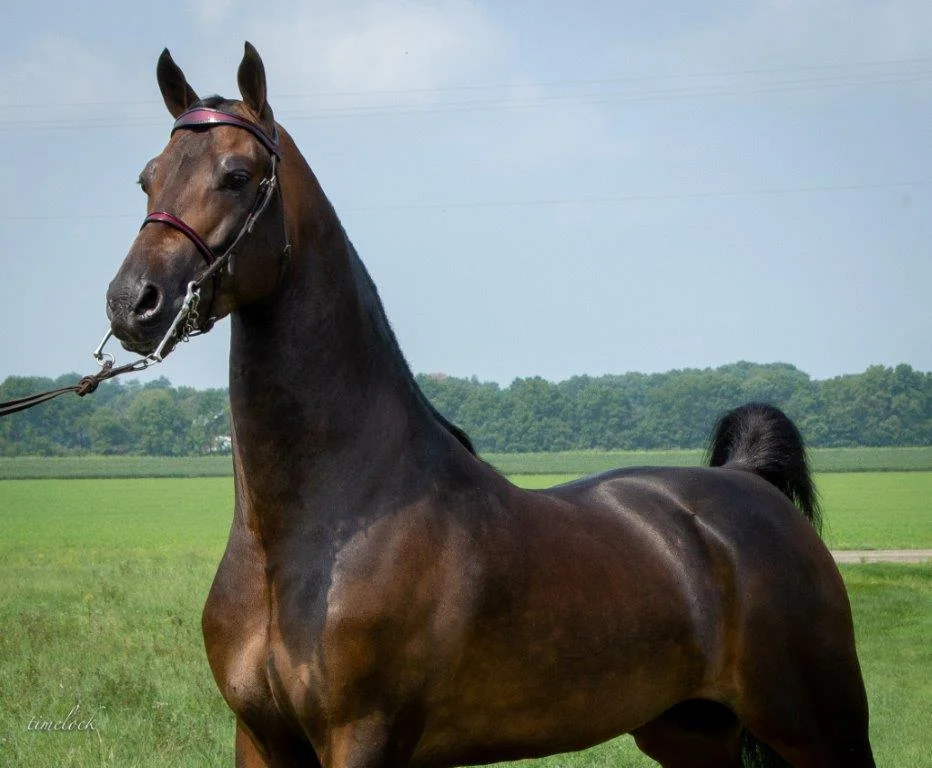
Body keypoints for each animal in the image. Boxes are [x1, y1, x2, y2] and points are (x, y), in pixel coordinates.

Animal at [104, 43, 874, 768]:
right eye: (148, 176)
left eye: (236, 175)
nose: (133, 302)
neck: (314, 533)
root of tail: (747, 485)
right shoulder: (261, 737)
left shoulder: (361, 737)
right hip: (689, 731)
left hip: (823, 729)